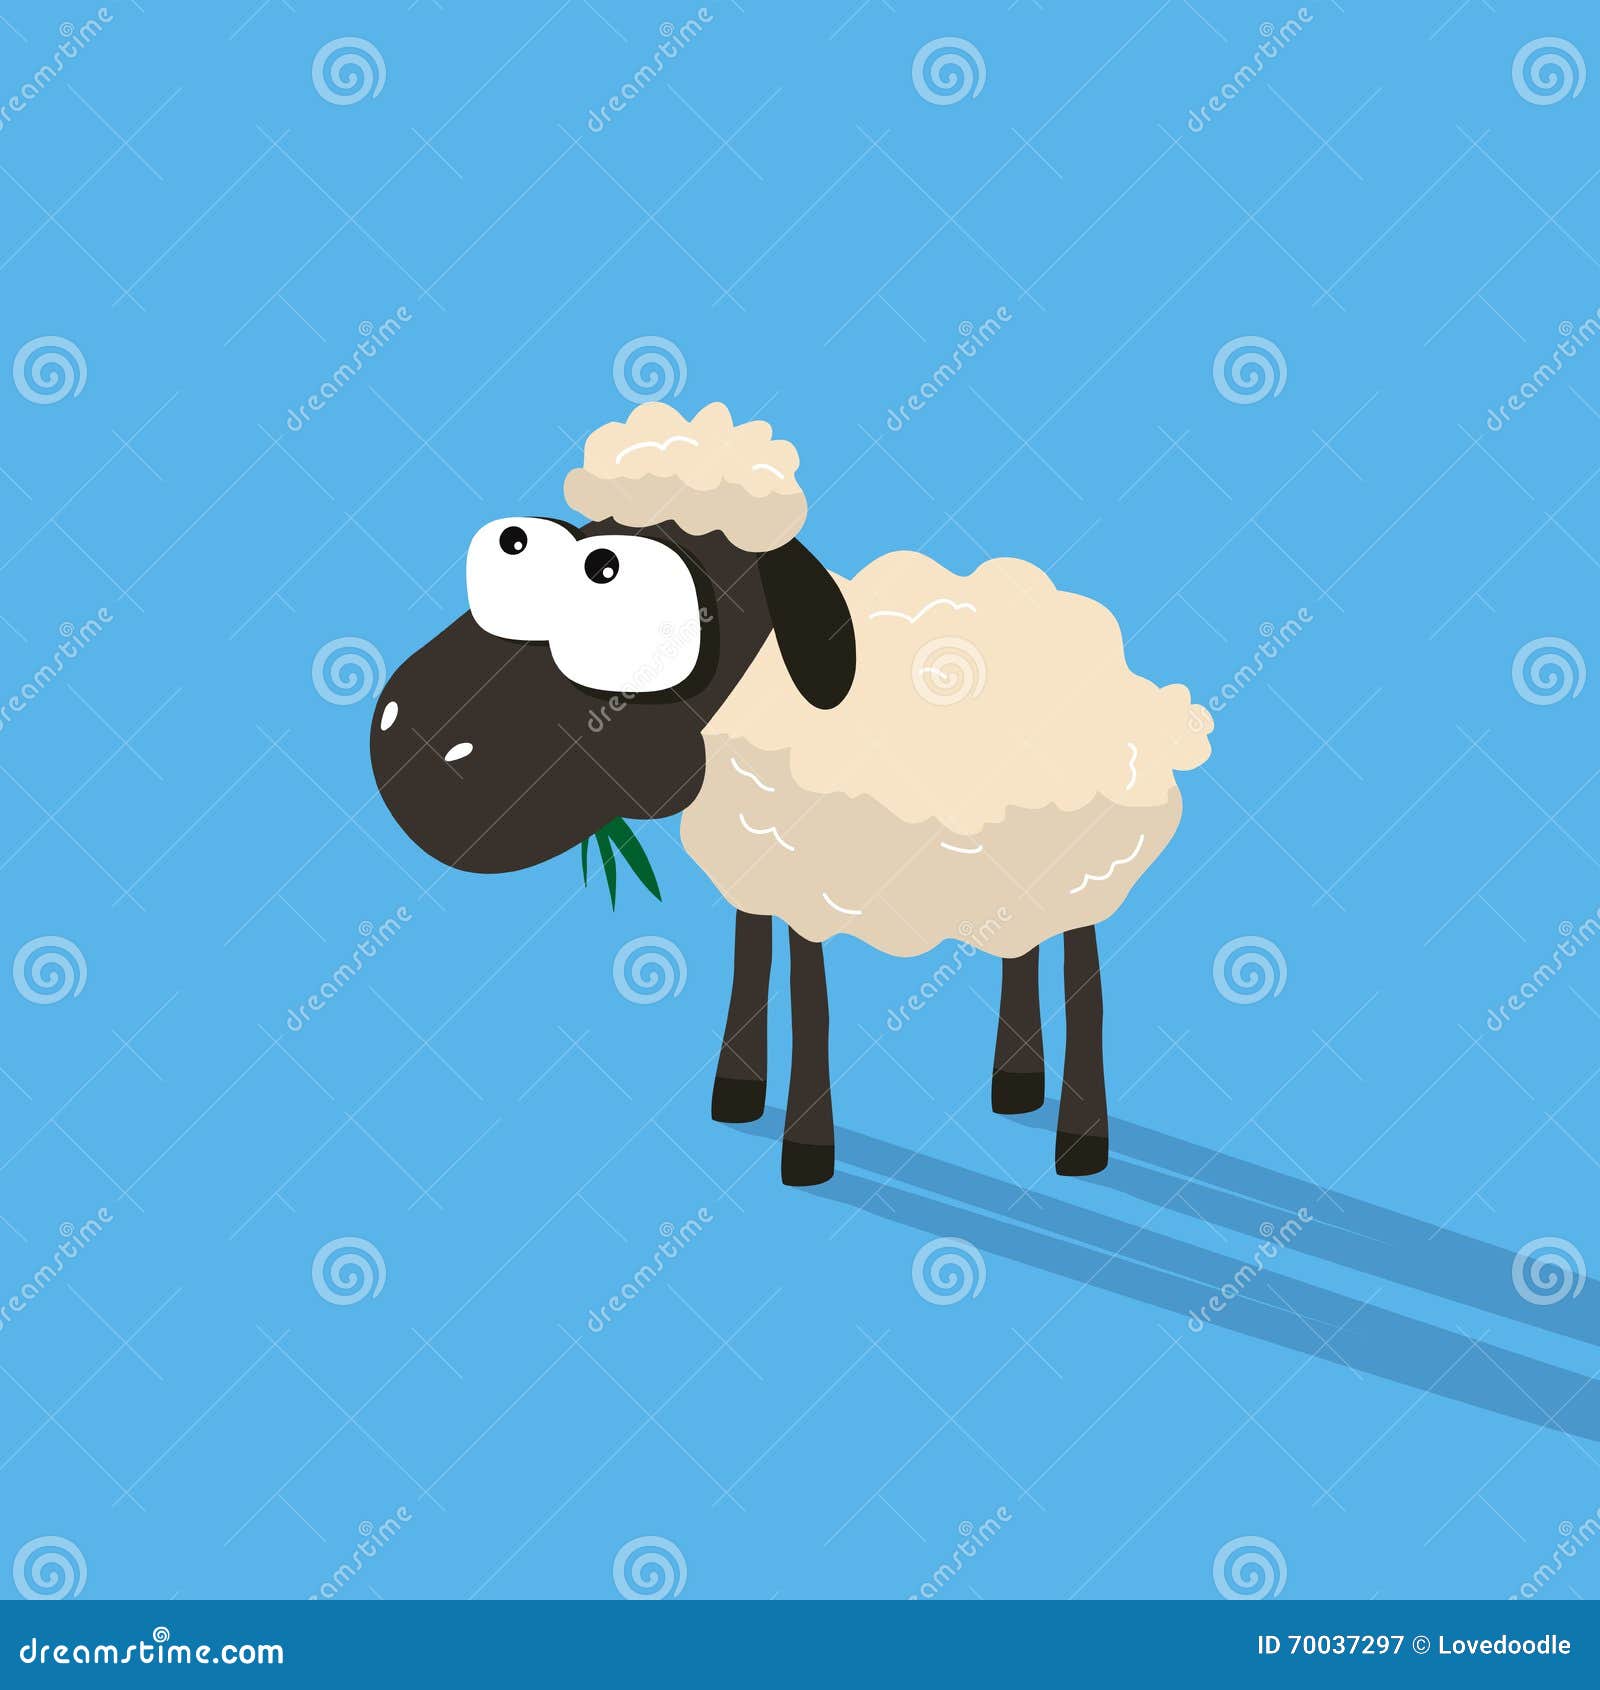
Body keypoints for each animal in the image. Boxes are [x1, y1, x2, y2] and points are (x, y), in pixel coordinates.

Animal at [370, 400, 1214, 1187]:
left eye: (608, 576)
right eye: (511, 547)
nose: (409, 736)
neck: (767, 700)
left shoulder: (813, 882)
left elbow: (813, 1006)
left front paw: (806, 1150)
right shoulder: (759, 865)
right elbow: (751, 966)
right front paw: (737, 1094)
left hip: (1085, 870)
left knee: (1083, 978)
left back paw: (1079, 1138)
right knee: (1020, 951)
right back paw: (1016, 1084)